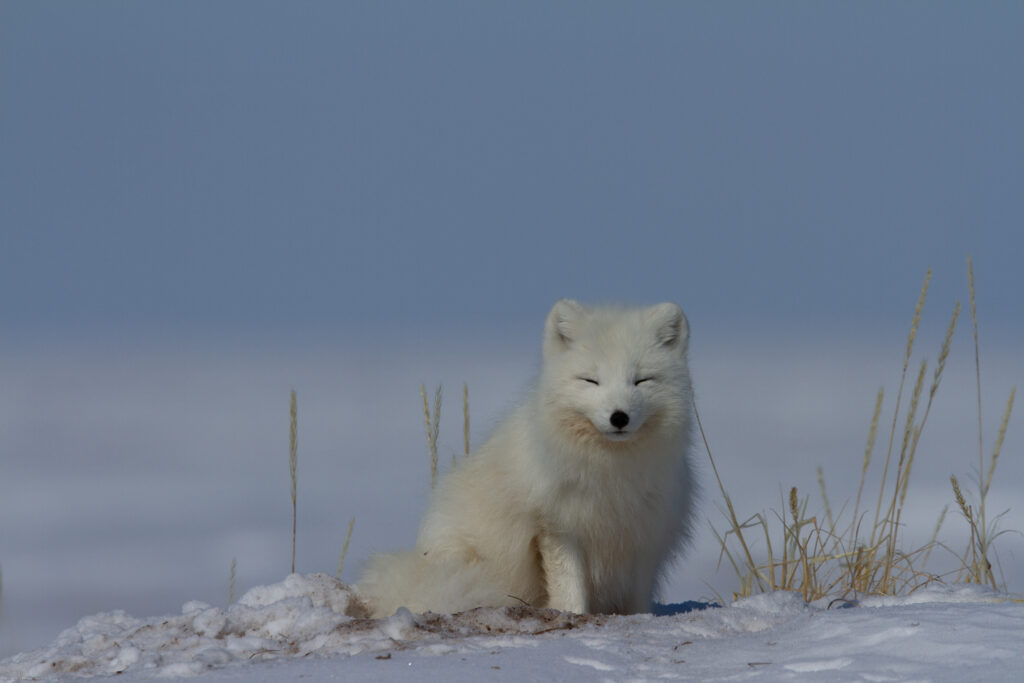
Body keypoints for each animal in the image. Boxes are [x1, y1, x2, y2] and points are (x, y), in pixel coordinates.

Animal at [356, 299, 697, 617]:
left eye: (642, 380)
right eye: (590, 380)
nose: (619, 417)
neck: (610, 472)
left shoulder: (644, 533)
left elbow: (637, 595)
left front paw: (640, 618)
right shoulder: (557, 526)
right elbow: (570, 586)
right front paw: (573, 614)